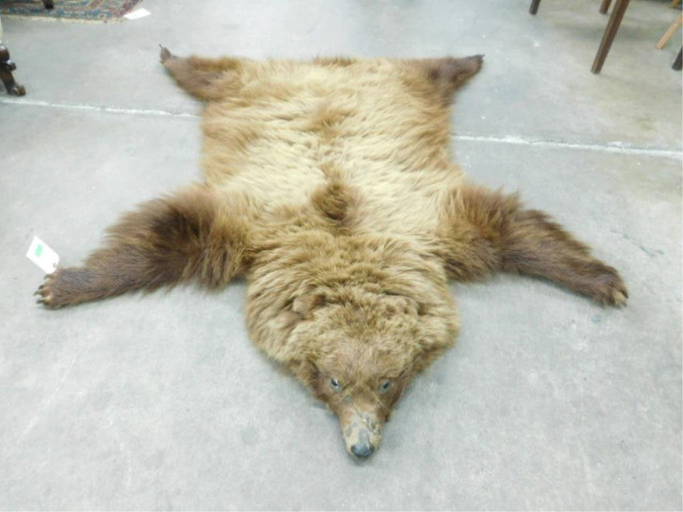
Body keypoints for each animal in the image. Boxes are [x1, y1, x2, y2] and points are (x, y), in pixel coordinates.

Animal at [36, 48, 627, 459]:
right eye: (335, 380)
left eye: (388, 380)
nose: (361, 446)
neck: (344, 240)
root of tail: (327, 65)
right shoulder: (255, 223)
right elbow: (168, 235)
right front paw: (63, 283)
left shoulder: (428, 220)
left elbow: (513, 228)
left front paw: (604, 280)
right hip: (250, 87)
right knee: (217, 74)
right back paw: (172, 56)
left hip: (400, 85)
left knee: (430, 71)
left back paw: (468, 60)